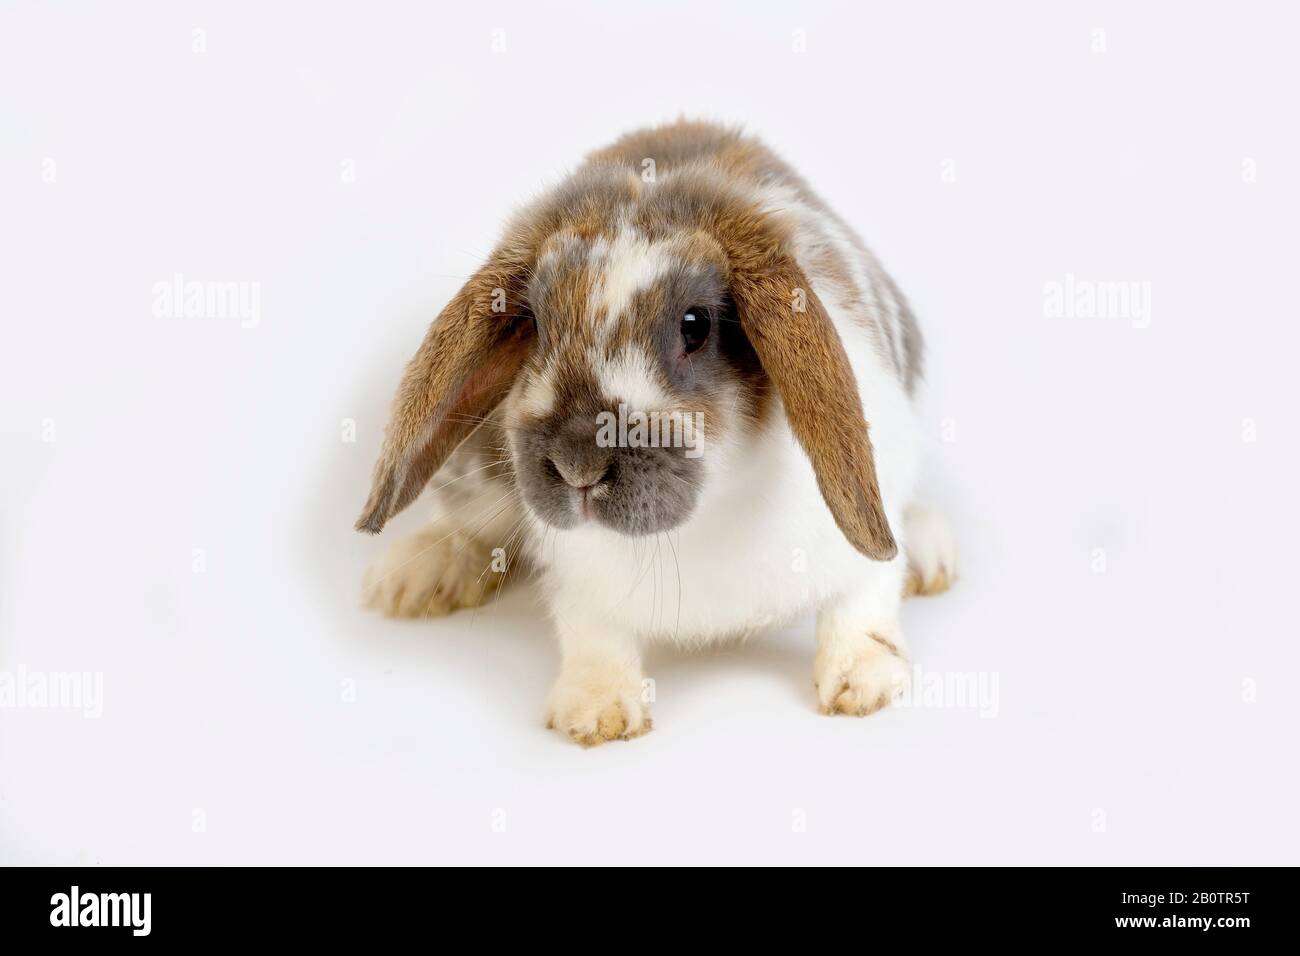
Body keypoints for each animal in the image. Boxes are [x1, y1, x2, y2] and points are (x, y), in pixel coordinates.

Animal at [357, 119, 956, 745]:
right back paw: (411, 579)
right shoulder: (579, 581)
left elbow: (862, 602)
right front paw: (597, 711)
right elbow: (592, 634)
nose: (578, 466)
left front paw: (864, 683)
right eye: (536, 323)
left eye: (695, 325)